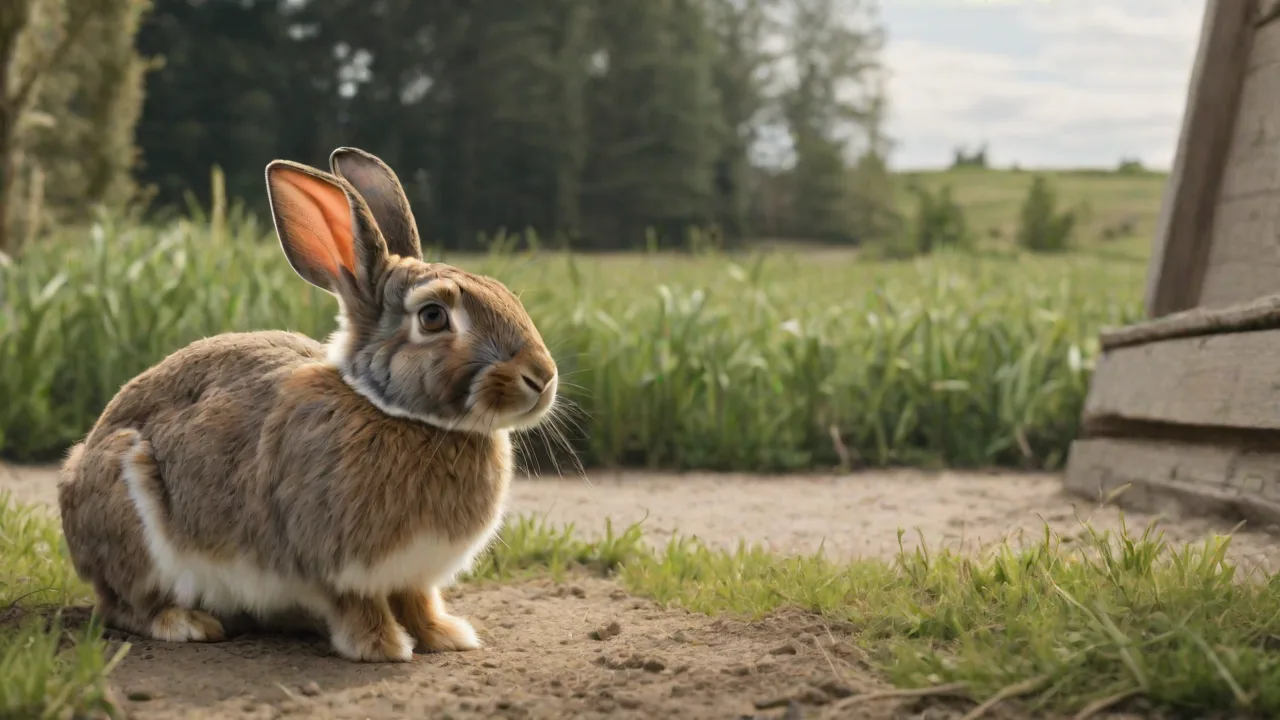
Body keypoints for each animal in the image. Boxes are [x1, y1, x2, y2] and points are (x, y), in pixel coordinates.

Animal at [56, 147, 559, 662]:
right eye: (433, 317)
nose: (542, 378)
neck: (396, 412)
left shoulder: (411, 574)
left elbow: (418, 600)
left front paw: (445, 636)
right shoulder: (331, 564)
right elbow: (358, 605)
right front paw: (381, 646)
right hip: (130, 516)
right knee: (125, 606)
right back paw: (188, 624)